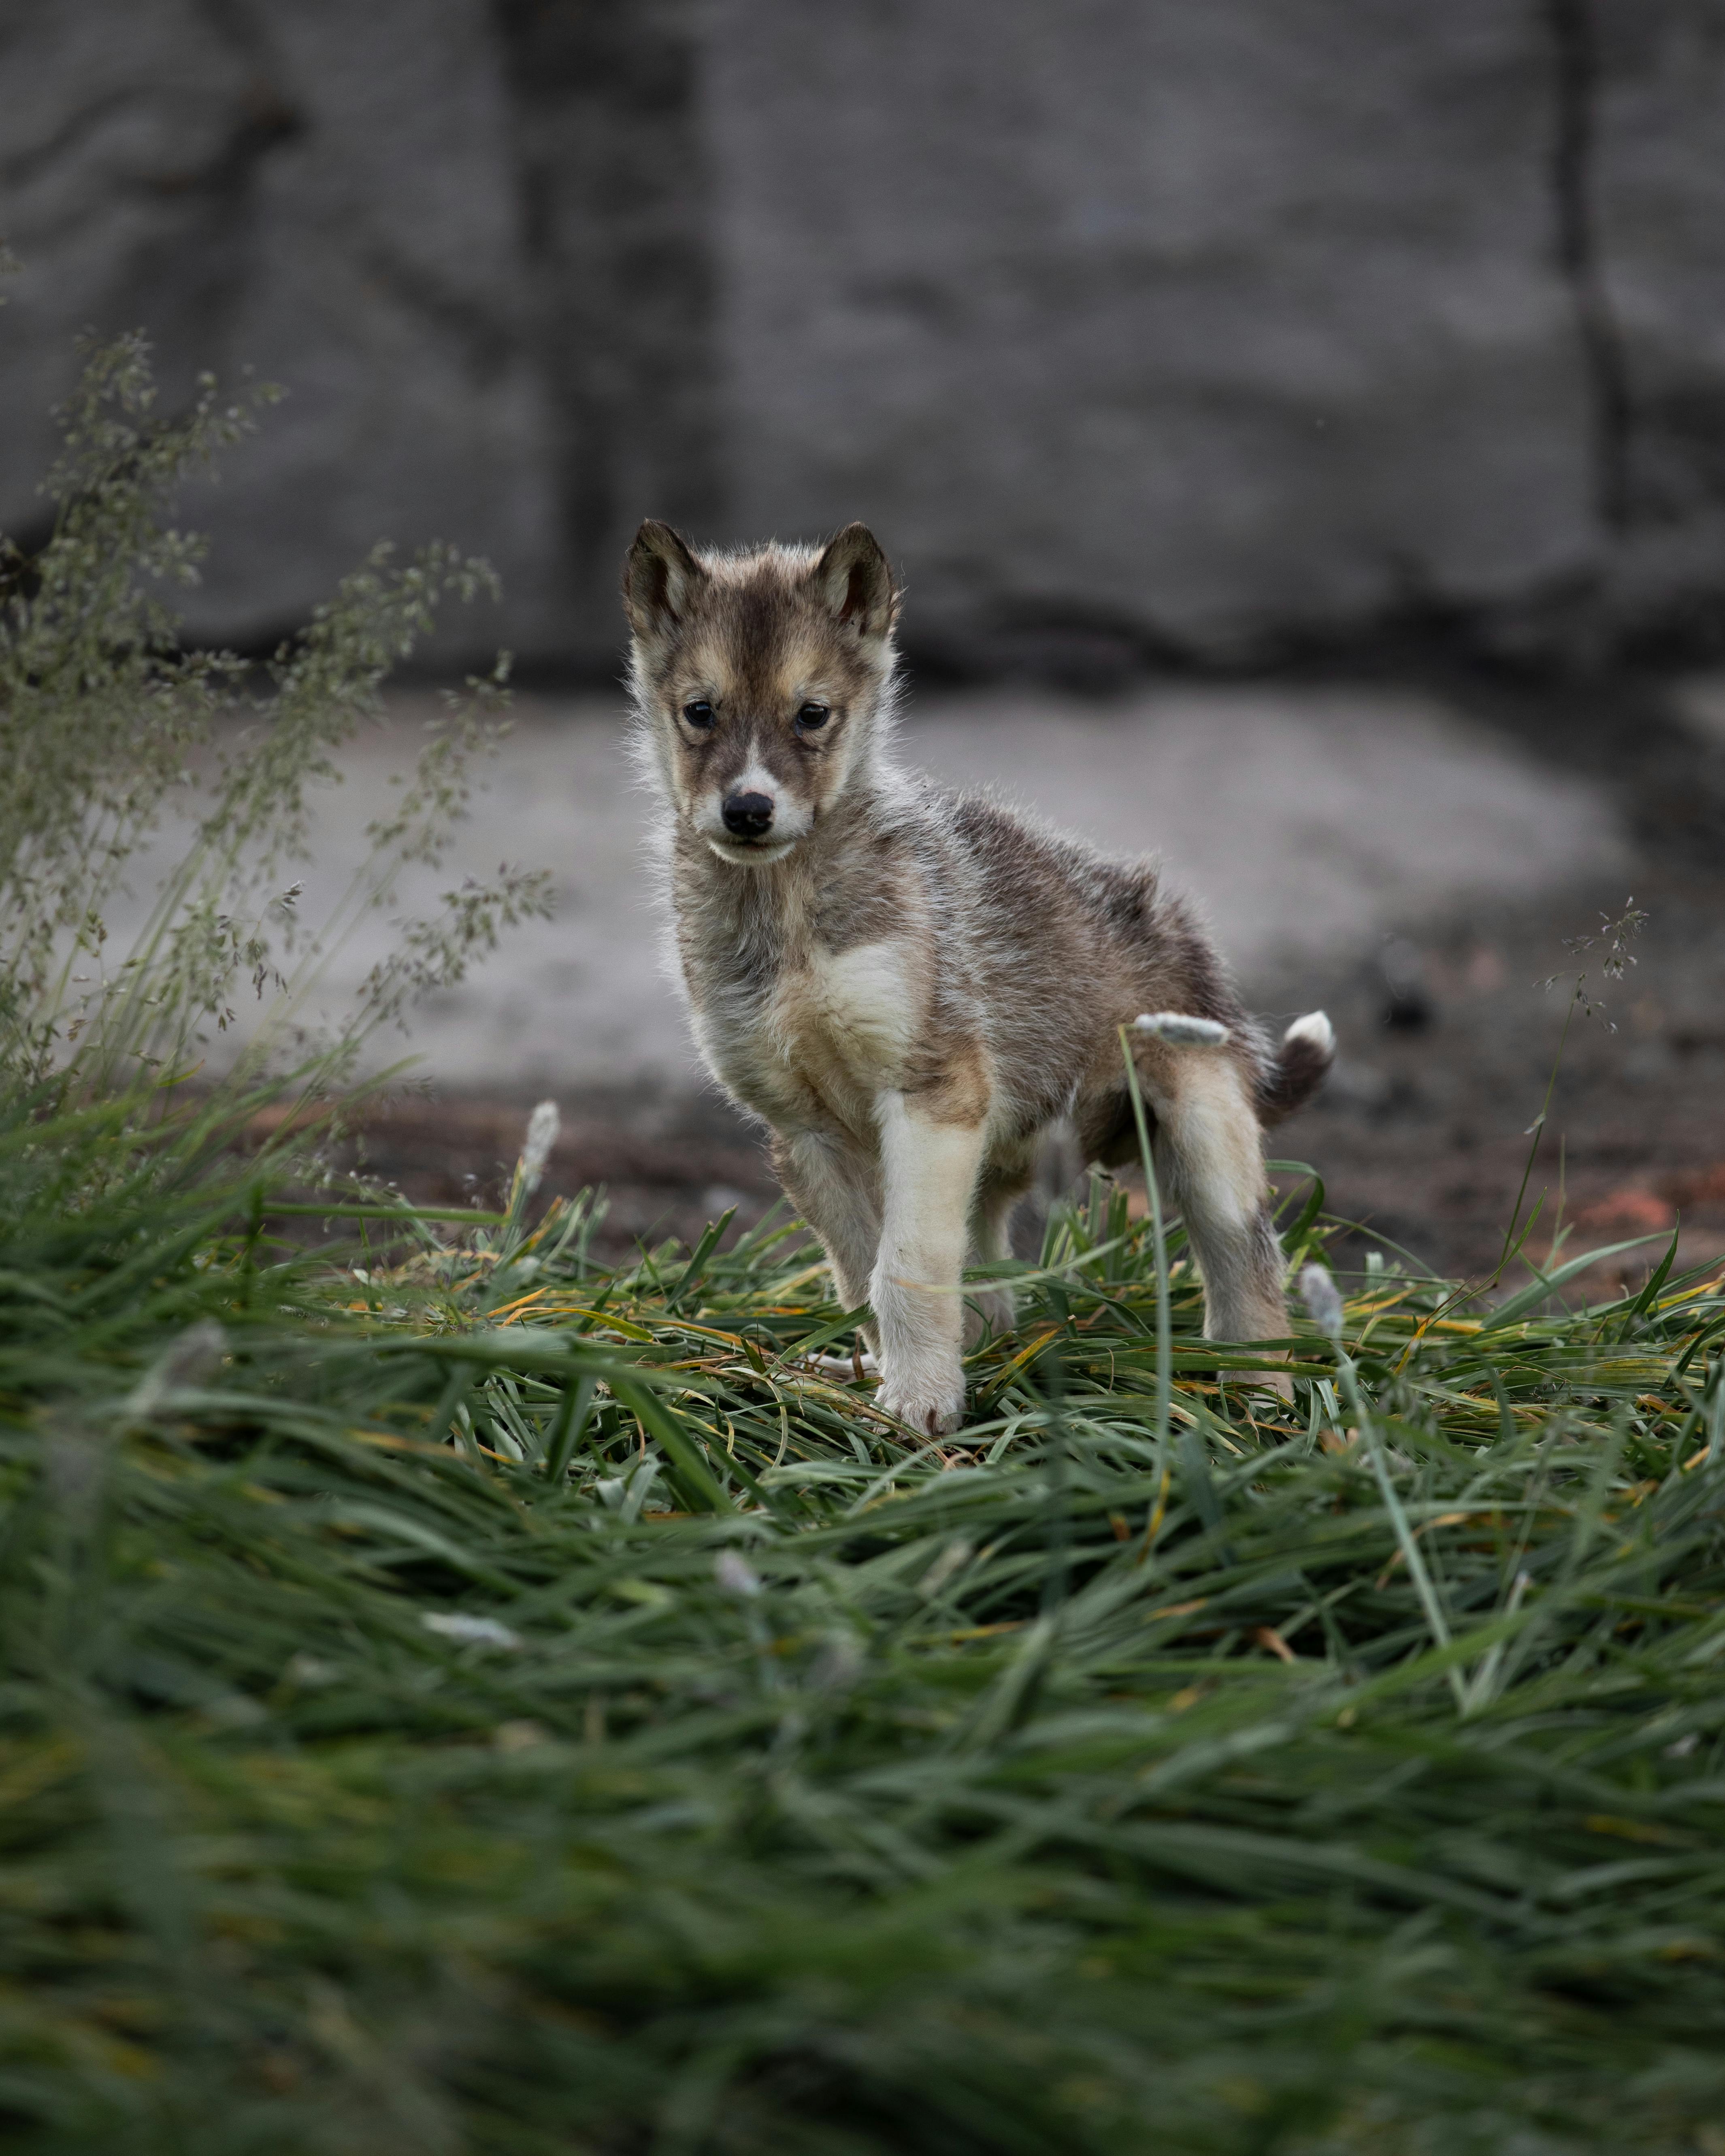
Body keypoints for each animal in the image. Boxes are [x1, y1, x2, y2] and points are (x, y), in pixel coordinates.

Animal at [623, 519, 1334, 1436]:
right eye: (700, 713)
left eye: (812, 714)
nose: (748, 811)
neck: (785, 910)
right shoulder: (803, 1131)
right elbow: (865, 1273)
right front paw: (888, 1385)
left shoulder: (933, 1089)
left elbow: (908, 1263)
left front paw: (919, 1405)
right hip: (1007, 1149)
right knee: (993, 1281)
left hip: (1206, 1141)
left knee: (1249, 1272)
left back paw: (1261, 1403)